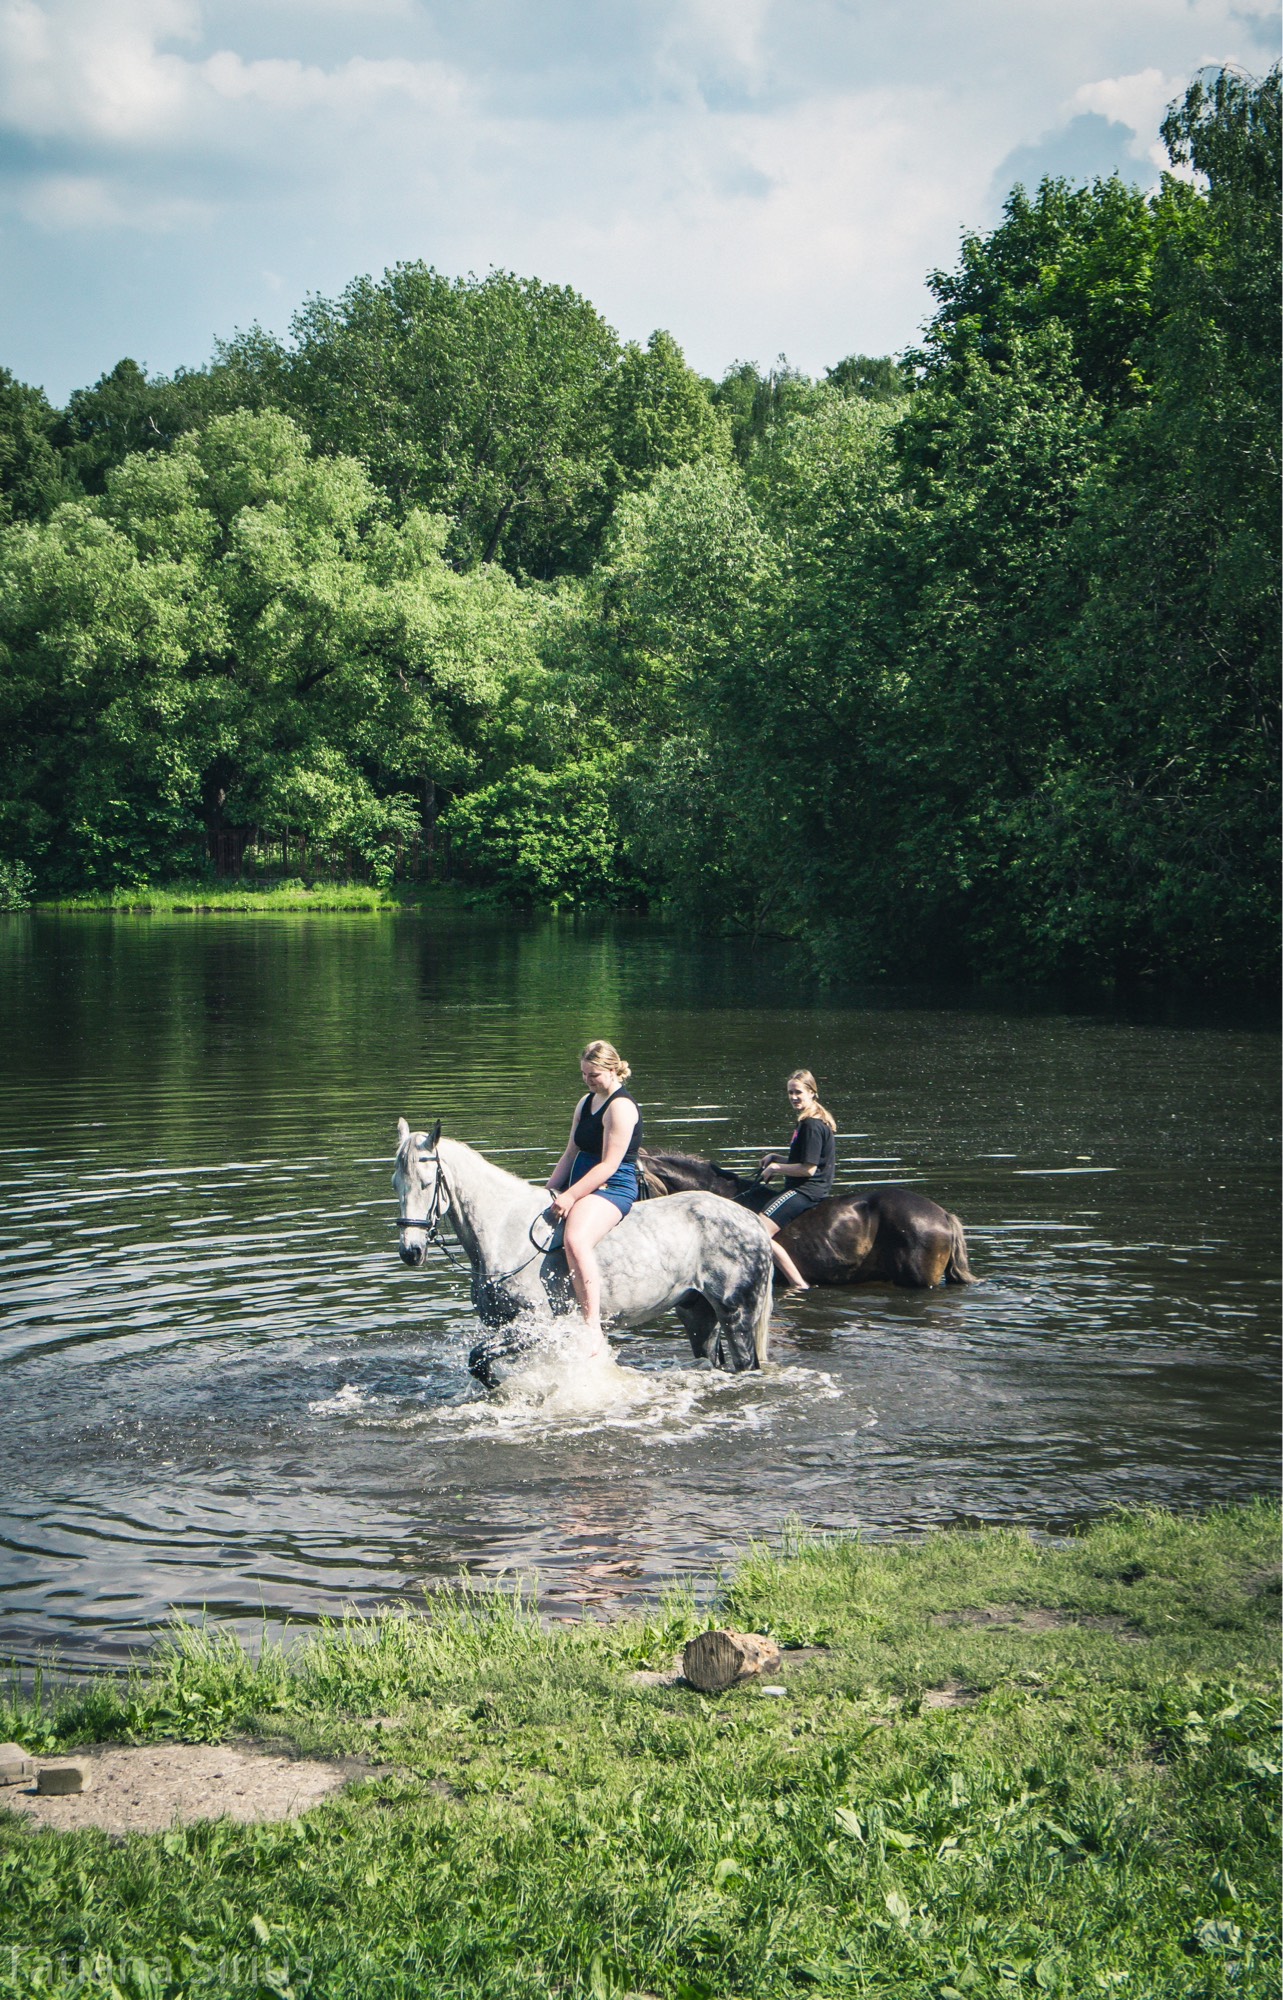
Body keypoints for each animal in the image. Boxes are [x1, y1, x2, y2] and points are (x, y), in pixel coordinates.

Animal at [389, 1120, 767, 1384]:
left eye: (426, 1183)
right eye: (396, 1184)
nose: (411, 1250)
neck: (503, 1230)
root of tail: (751, 1219)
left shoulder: (537, 1326)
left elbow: (478, 1358)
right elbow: (480, 1362)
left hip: (736, 1314)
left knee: (747, 1365)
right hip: (697, 1313)